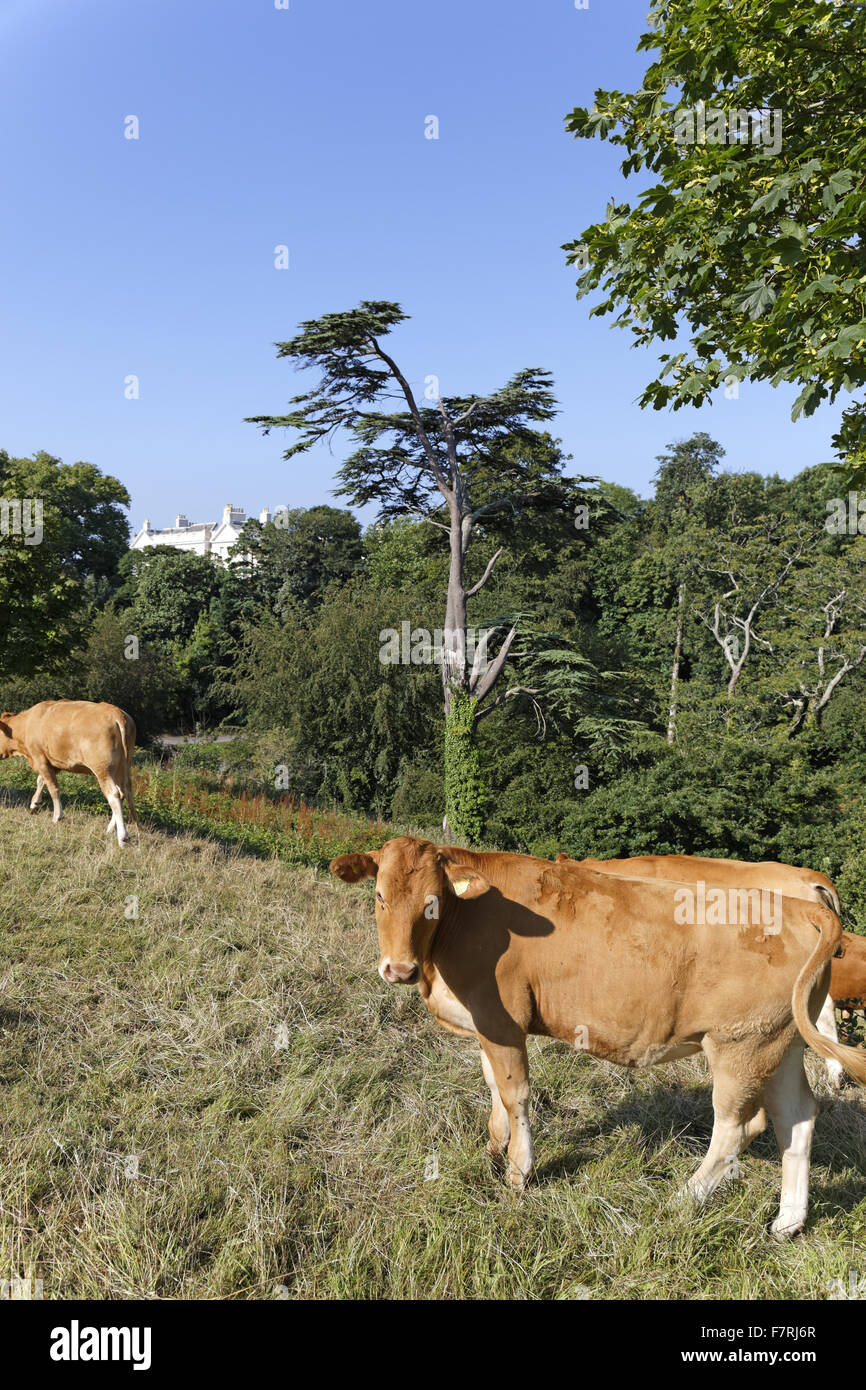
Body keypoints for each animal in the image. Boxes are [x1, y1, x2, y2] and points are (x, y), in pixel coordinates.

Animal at [0, 700, 137, 847]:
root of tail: (116, 712)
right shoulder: (52, 762)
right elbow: (41, 781)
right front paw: (34, 804)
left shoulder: (39, 757)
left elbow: (53, 788)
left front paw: (57, 816)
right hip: (122, 767)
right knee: (122, 793)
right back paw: (111, 828)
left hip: (103, 769)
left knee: (114, 794)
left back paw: (123, 837)